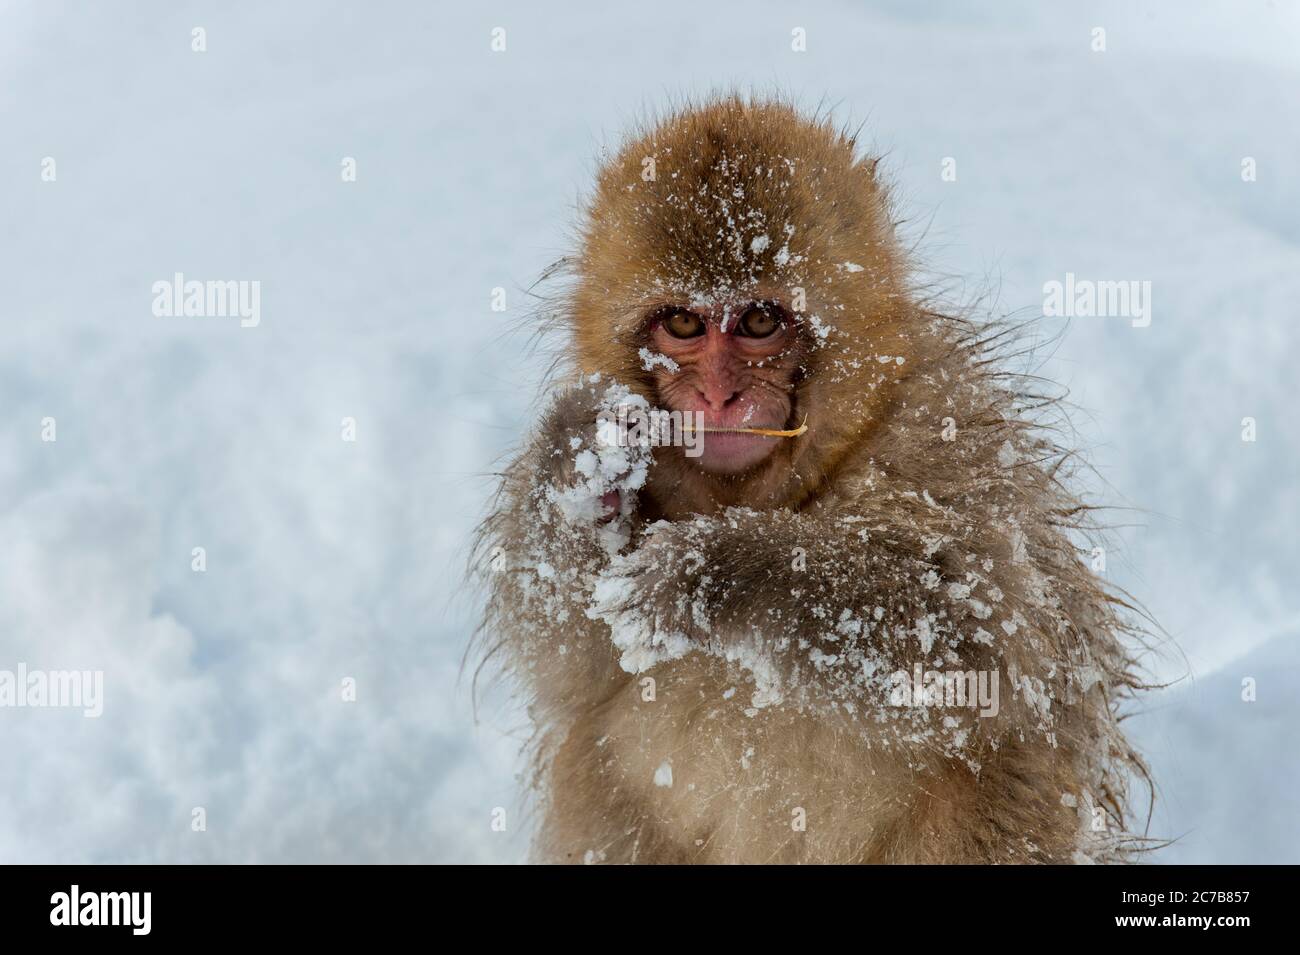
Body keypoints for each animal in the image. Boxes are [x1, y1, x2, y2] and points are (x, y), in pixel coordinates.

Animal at [473, 96, 1153, 864]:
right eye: (683, 323)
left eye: (758, 320)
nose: (720, 397)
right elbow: (571, 668)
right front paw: (576, 466)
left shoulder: (948, 433)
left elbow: (980, 643)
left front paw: (717, 572)